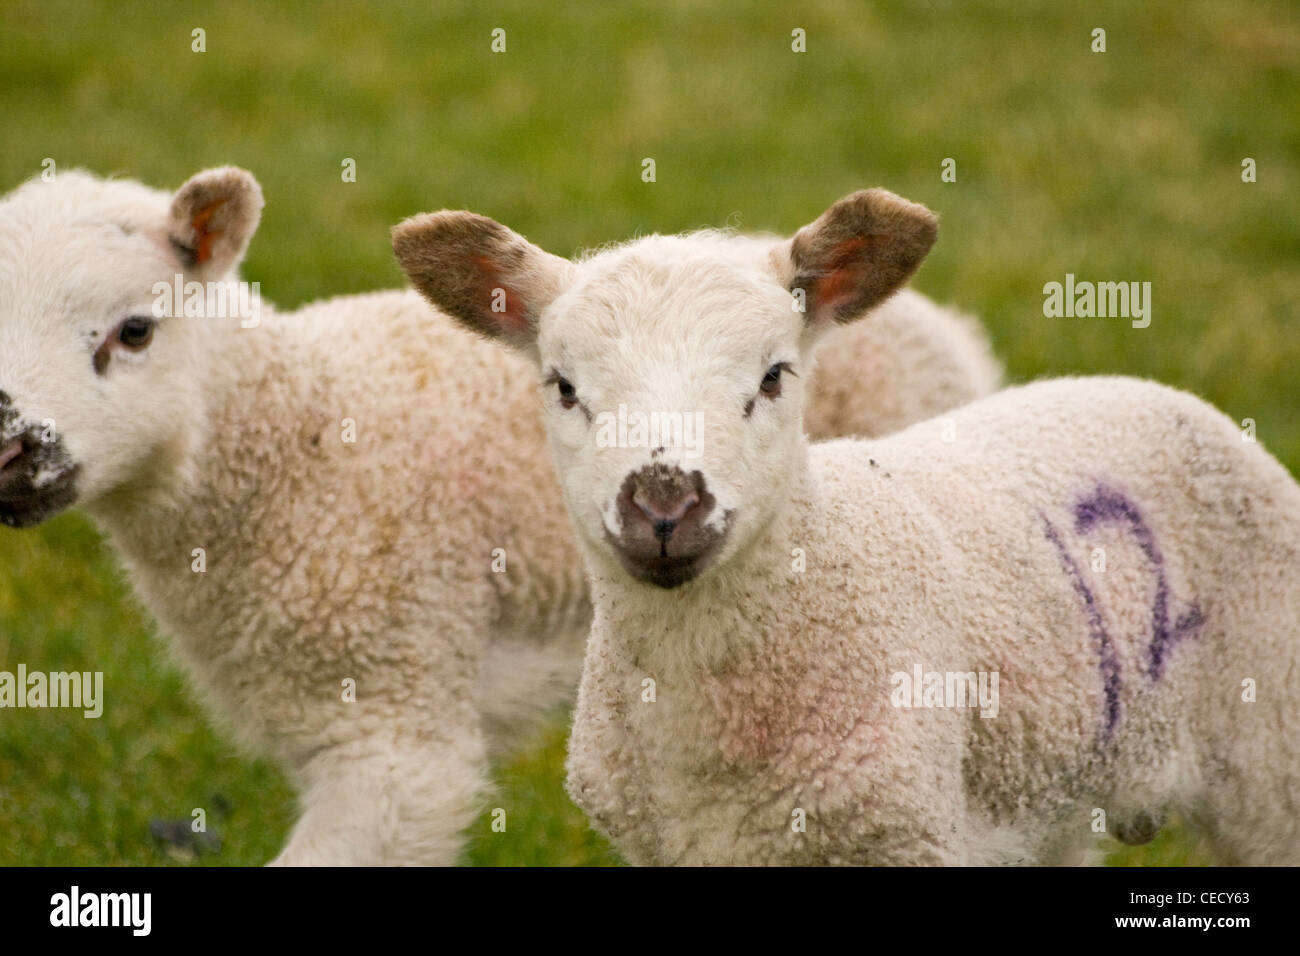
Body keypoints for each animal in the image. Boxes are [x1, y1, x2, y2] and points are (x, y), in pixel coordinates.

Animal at [394, 187, 1300, 866]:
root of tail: (1144, 387)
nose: (664, 506)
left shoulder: (903, 835)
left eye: (774, 376)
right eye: (563, 387)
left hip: (1271, 750)